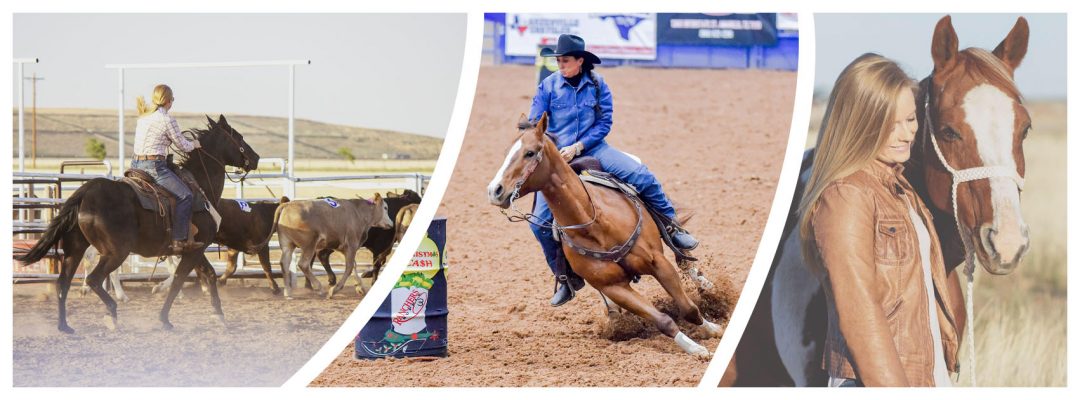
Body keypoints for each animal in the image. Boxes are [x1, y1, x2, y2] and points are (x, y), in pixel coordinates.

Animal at [16, 115, 260, 333]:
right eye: (238, 137)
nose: (256, 157)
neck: (200, 186)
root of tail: (85, 191)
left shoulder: (195, 249)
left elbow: (208, 275)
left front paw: (219, 316)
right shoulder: (193, 250)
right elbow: (179, 280)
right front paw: (164, 319)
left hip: (75, 248)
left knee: (63, 283)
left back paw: (64, 326)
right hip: (116, 251)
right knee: (95, 279)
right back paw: (112, 315)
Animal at [486, 112, 723, 357]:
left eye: (530, 152)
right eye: (506, 153)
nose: (495, 190)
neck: (595, 223)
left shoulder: (657, 262)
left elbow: (688, 308)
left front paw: (711, 331)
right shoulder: (613, 286)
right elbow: (663, 320)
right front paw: (695, 348)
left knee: (681, 251)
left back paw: (705, 282)